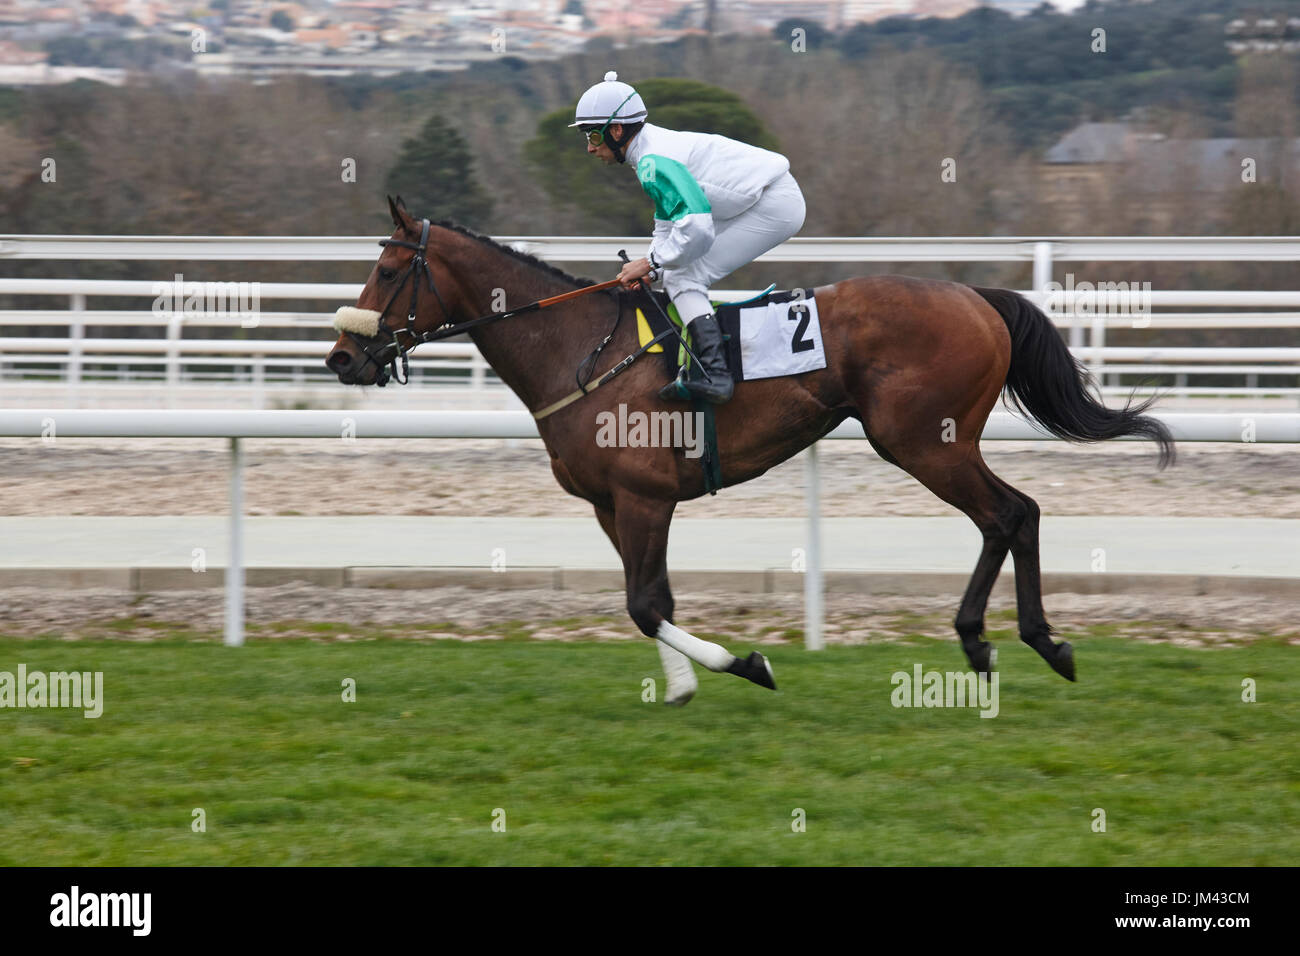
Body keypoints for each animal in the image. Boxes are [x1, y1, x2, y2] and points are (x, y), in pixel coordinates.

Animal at [325, 197, 1175, 705]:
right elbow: (649, 603)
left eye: (389, 270)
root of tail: (977, 297)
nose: (341, 358)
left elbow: (645, 604)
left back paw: (1027, 643)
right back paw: (1001, 642)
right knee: (1013, 515)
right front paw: (679, 689)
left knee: (1010, 513)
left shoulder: (644, 496)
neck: (575, 347)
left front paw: (748, 665)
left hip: (921, 442)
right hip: (935, 442)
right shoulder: (610, 503)